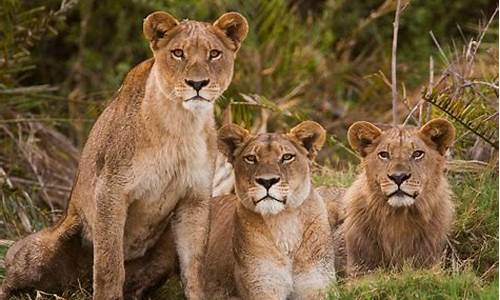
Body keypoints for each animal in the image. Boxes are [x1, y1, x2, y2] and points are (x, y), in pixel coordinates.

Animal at [0, 9, 248, 300]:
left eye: (214, 54)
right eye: (178, 53)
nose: (197, 83)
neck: (181, 123)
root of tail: (76, 285)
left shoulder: (194, 198)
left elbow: (194, 267)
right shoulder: (111, 189)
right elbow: (109, 262)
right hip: (44, 246)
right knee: (13, 274)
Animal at [203, 120, 336, 298]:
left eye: (287, 157)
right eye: (251, 158)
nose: (267, 181)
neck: (283, 221)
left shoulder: (316, 284)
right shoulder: (262, 284)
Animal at [340, 118, 454, 276]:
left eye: (417, 154)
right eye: (384, 154)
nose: (398, 177)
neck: (399, 217)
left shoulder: (430, 266)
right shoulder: (360, 269)